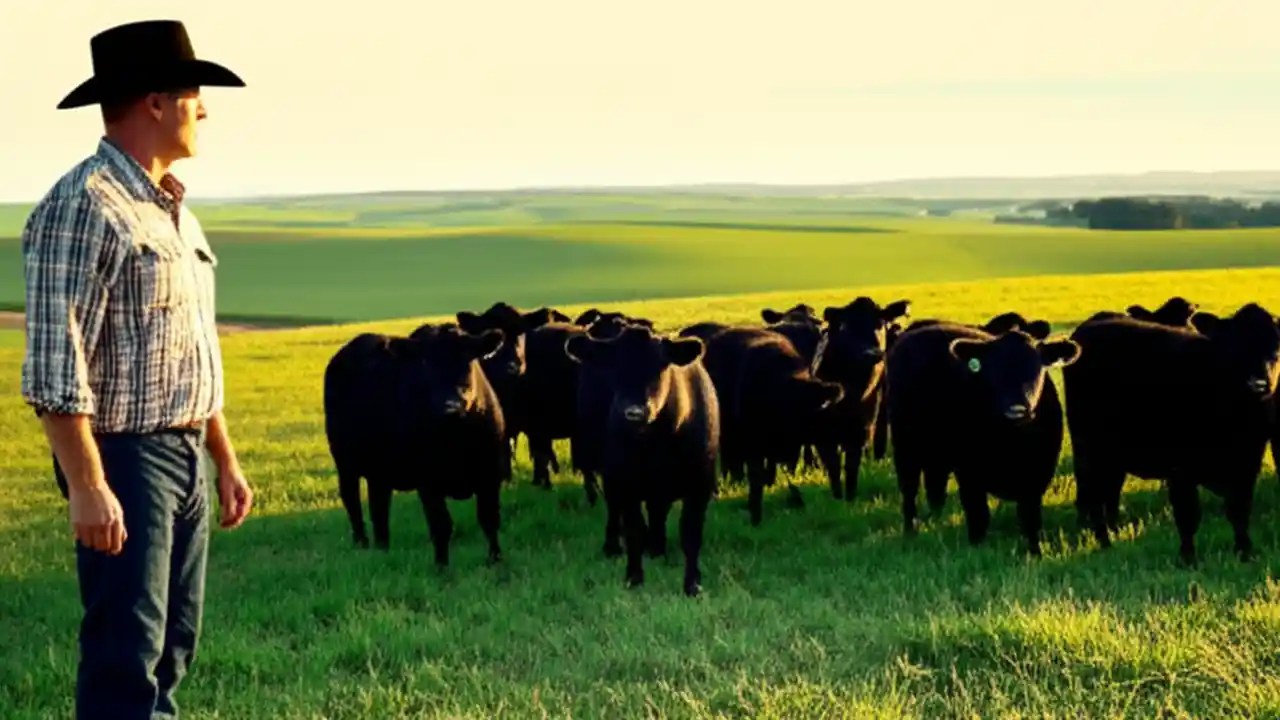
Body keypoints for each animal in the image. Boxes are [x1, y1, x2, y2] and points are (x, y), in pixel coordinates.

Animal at [322, 325, 508, 567]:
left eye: (467, 359)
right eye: (424, 364)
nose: (449, 407)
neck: (456, 440)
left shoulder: (490, 474)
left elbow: (489, 519)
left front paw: (496, 560)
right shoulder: (428, 482)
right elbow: (441, 526)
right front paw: (442, 567)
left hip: (379, 471)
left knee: (379, 507)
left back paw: (382, 549)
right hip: (345, 463)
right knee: (352, 502)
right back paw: (362, 545)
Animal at [564, 325, 720, 597]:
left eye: (661, 366)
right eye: (614, 367)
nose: (634, 412)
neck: (655, 443)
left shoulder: (700, 483)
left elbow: (691, 532)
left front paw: (692, 584)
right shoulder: (625, 482)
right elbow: (633, 529)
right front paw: (634, 577)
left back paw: (656, 547)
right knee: (614, 509)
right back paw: (613, 546)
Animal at [810, 296, 911, 501]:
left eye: (880, 323)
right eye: (846, 327)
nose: (872, 353)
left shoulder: (860, 428)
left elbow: (851, 465)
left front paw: (849, 498)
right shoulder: (822, 432)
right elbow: (832, 465)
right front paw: (837, 497)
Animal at [886, 323, 1079, 555]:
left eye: (1036, 368)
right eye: (993, 371)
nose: (1016, 410)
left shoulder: (1037, 476)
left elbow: (1030, 519)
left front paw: (1035, 552)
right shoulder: (969, 474)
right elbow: (978, 514)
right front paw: (976, 548)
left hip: (937, 454)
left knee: (935, 489)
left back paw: (935, 521)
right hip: (905, 449)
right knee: (909, 492)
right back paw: (910, 532)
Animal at [1063, 303, 1280, 565]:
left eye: (1276, 348)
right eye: (1233, 347)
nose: (1258, 383)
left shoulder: (1247, 465)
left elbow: (1239, 511)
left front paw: (1244, 551)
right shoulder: (1181, 469)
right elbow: (1188, 515)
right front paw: (1188, 558)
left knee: (1110, 490)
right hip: (1088, 448)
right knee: (1093, 495)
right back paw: (1104, 540)